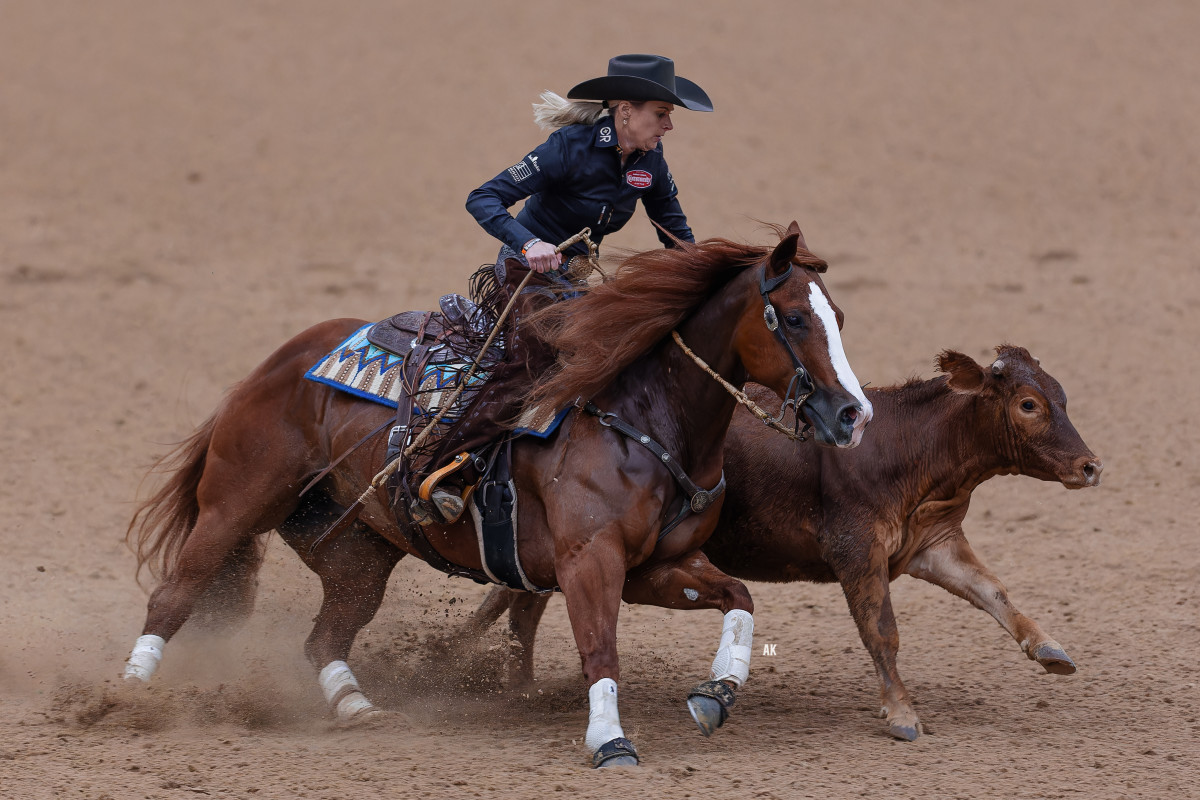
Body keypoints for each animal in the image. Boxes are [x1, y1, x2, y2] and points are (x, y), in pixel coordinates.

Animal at [121, 222, 873, 767]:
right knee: (174, 597)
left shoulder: (655, 568)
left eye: (839, 315)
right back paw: (127, 696)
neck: (645, 418)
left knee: (324, 635)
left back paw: (358, 709)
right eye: (793, 319)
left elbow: (739, 600)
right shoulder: (588, 563)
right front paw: (611, 743)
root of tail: (272, 365)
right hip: (235, 505)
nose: (853, 415)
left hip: (360, 547)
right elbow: (600, 650)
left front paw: (714, 695)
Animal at [465, 345, 1102, 741]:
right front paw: (902, 713)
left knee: (523, 604)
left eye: (1063, 397)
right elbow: (882, 632)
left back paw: (516, 683)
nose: (1090, 466)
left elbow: (993, 591)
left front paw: (1051, 649)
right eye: (1028, 404)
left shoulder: (932, 543)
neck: (907, 444)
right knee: (521, 602)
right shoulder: (857, 551)